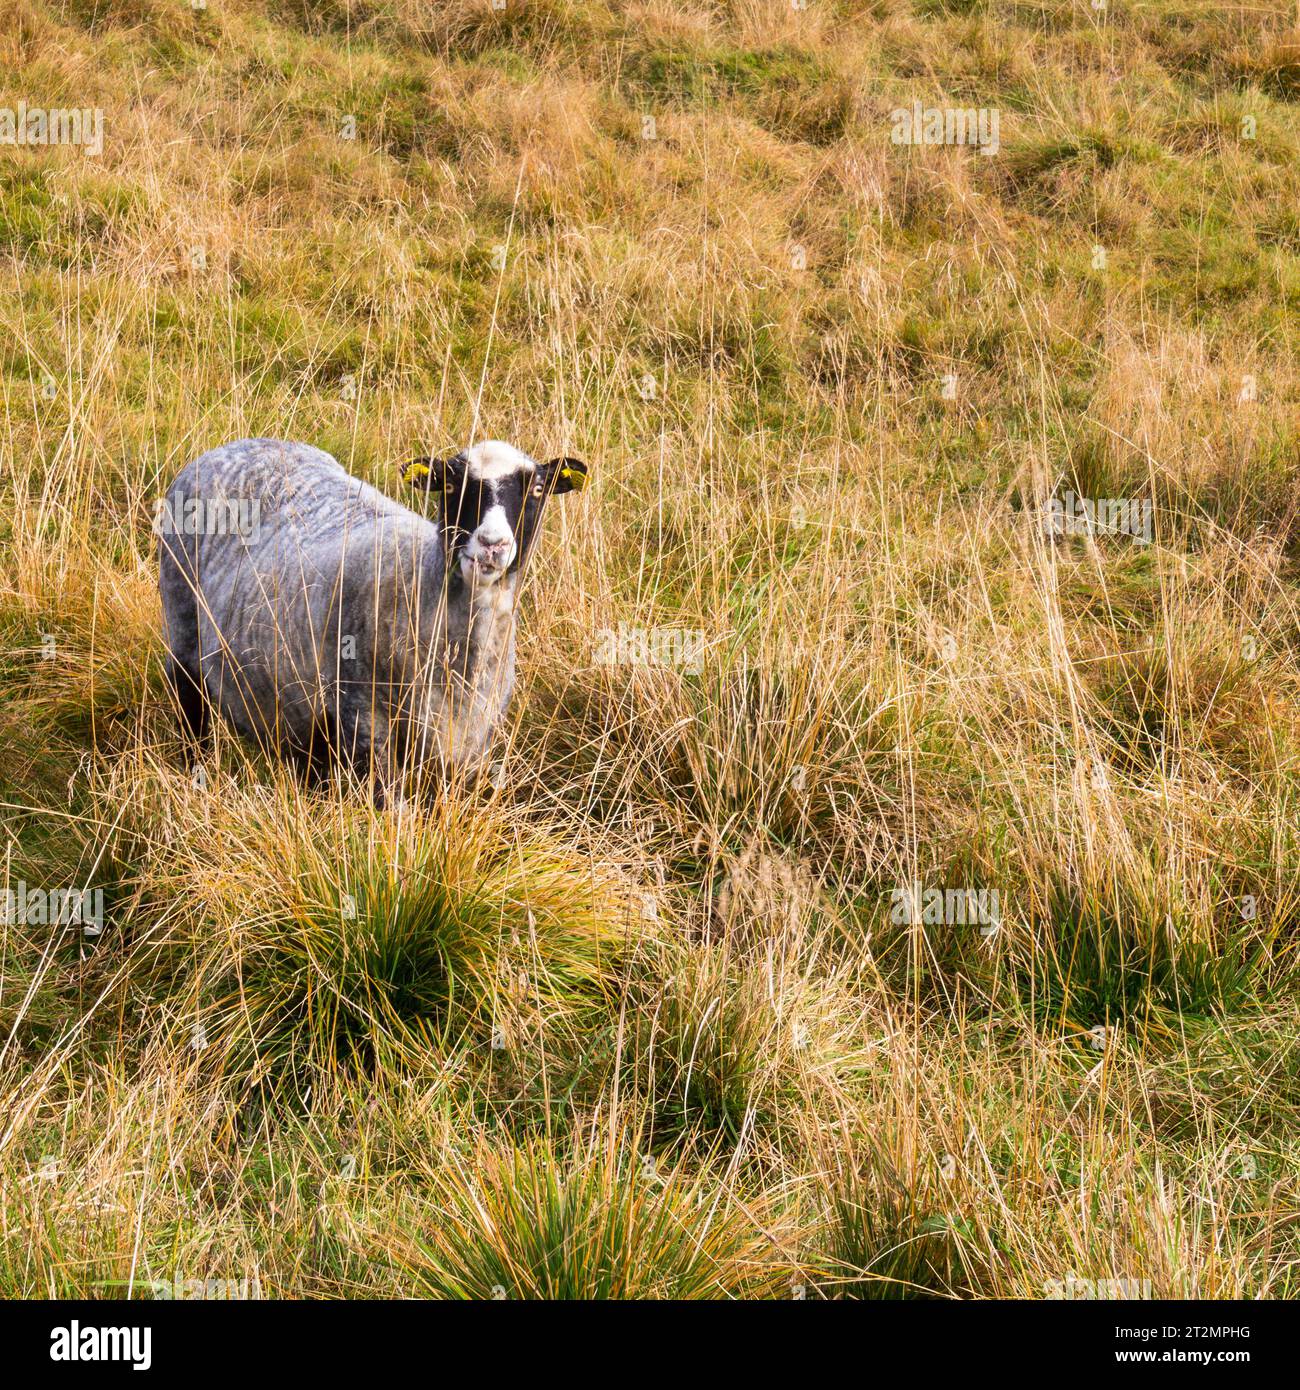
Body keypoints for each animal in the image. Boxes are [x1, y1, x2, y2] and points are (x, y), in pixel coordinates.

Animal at [157, 437, 587, 800]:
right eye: (450, 486)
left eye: (537, 490)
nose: (492, 544)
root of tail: (230, 446)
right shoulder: (364, 719)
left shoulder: (471, 743)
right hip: (182, 622)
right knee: (189, 703)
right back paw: (197, 776)